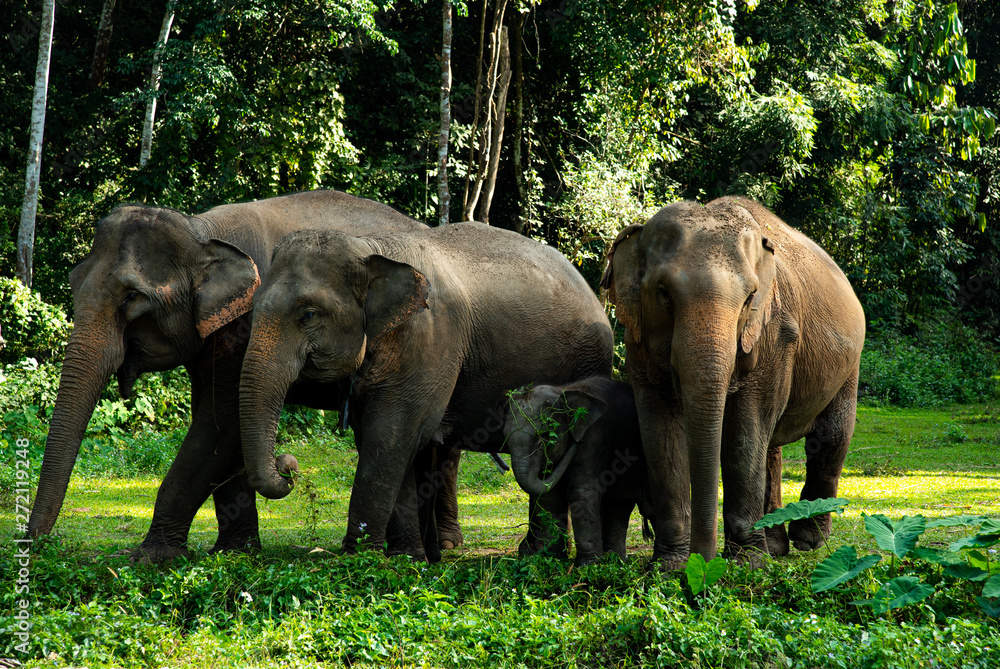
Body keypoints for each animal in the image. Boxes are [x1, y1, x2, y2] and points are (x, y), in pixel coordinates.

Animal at [26, 189, 433, 561]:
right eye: (74, 282)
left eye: (132, 298)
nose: (39, 547)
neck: (200, 230)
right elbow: (220, 423)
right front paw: (235, 552)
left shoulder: (247, 326)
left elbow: (223, 421)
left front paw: (152, 557)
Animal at [236, 222, 614, 560]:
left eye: (309, 315)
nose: (288, 466)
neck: (371, 248)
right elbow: (382, 437)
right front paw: (407, 556)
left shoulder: (431, 339)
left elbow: (392, 433)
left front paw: (359, 558)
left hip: (583, 363)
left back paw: (539, 554)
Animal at [504, 376, 657, 566]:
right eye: (505, 438)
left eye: (544, 436)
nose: (578, 441)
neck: (563, 391)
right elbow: (550, 497)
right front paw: (553, 560)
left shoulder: (594, 441)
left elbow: (582, 493)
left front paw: (588, 566)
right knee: (618, 505)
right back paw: (615, 561)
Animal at [601, 196, 865, 567]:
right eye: (663, 293)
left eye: (750, 297)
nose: (702, 561)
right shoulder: (637, 340)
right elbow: (659, 429)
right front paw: (670, 566)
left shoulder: (773, 335)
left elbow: (745, 431)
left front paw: (747, 563)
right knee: (772, 448)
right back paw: (776, 546)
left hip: (849, 363)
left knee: (831, 435)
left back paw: (807, 540)